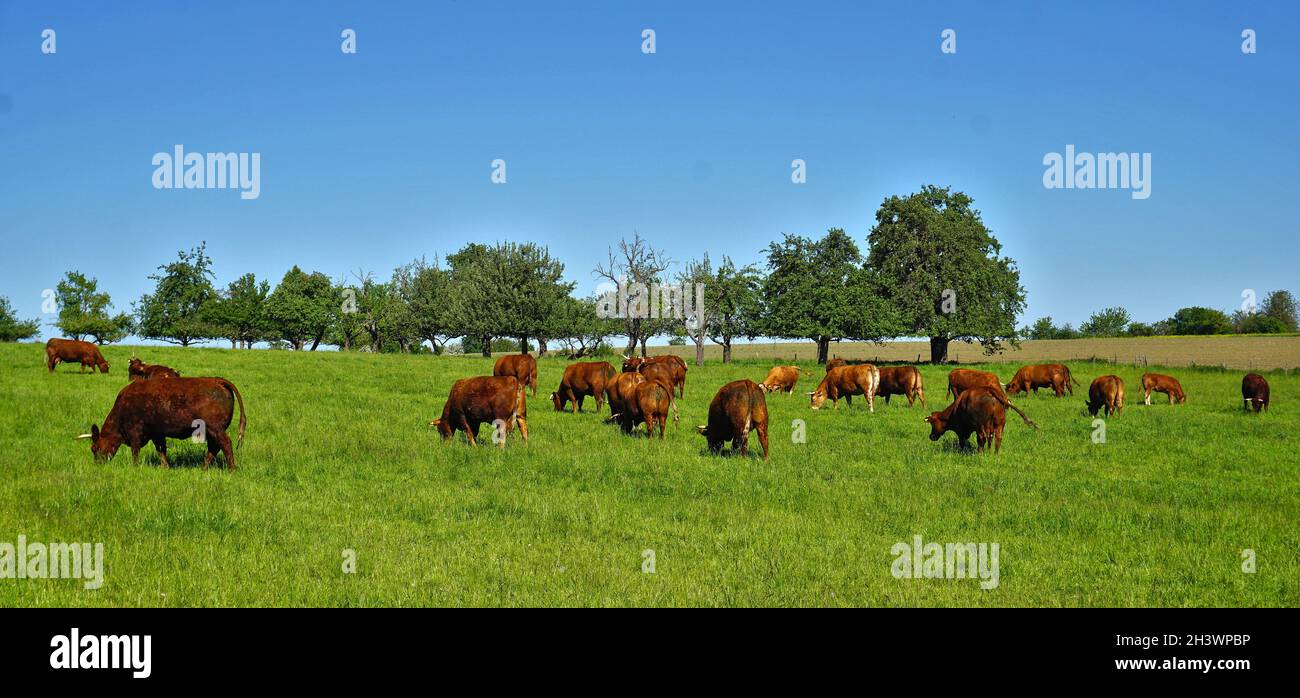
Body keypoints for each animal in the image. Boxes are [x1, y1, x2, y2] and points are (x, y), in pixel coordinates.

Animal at [78, 377, 246, 469]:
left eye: (94, 448)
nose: (98, 464)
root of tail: (216, 380)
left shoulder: (135, 433)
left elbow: (135, 452)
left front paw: (134, 467)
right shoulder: (157, 434)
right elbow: (161, 451)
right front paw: (166, 467)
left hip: (215, 428)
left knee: (225, 444)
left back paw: (231, 468)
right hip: (211, 431)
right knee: (213, 448)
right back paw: (203, 468)